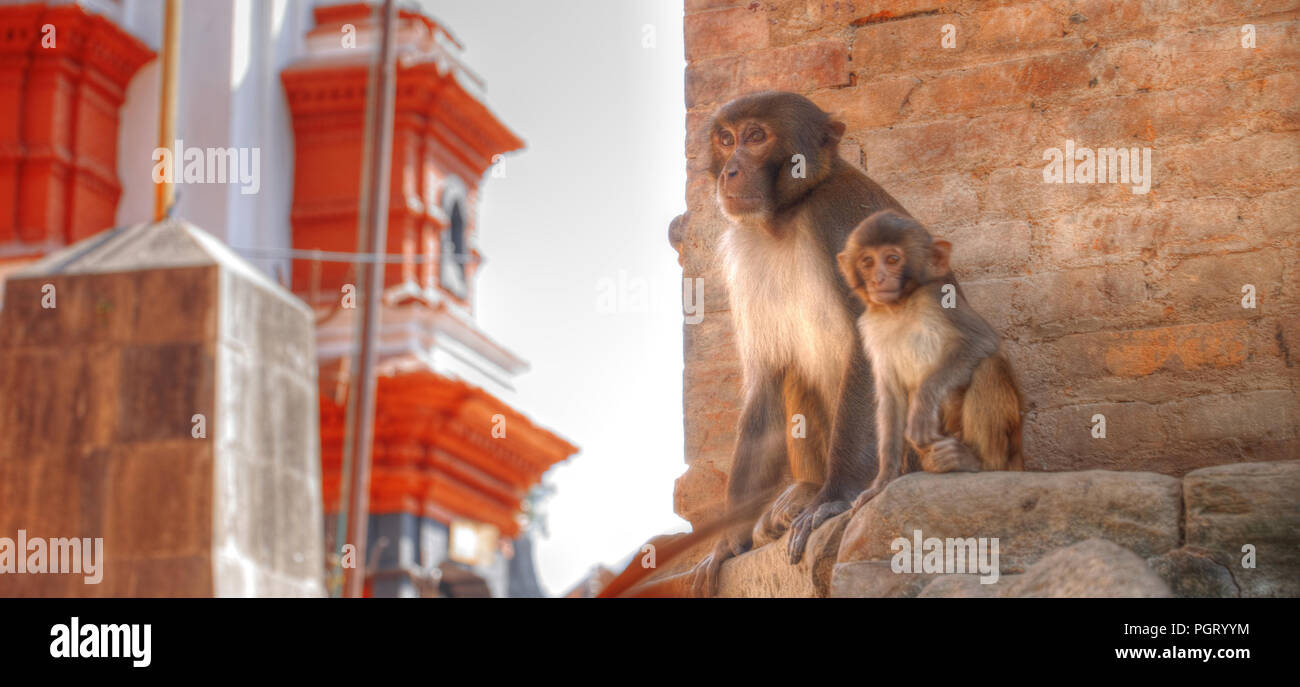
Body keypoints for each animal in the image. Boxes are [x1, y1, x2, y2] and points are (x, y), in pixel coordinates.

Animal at [689, 91, 912, 597]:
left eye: (755, 136)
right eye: (726, 139)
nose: (730, 170)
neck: (788, 215)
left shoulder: (839, 218)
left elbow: (871, 348)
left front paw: (835, 498)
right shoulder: (746, 246)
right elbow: (767, 378)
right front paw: (725, 543)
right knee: (793, 372)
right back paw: (805, 489)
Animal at [835, 210, 1024, 511]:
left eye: (892, 259)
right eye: (867, 261)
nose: (878, 279)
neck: (899, 307)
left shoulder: (937, 298)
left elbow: (982, 342)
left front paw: (921, 410)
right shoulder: (870, 327)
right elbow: (892, 397)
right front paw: (882, 482)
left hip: (1012, 447)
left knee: (988, 366)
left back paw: (979, 462)